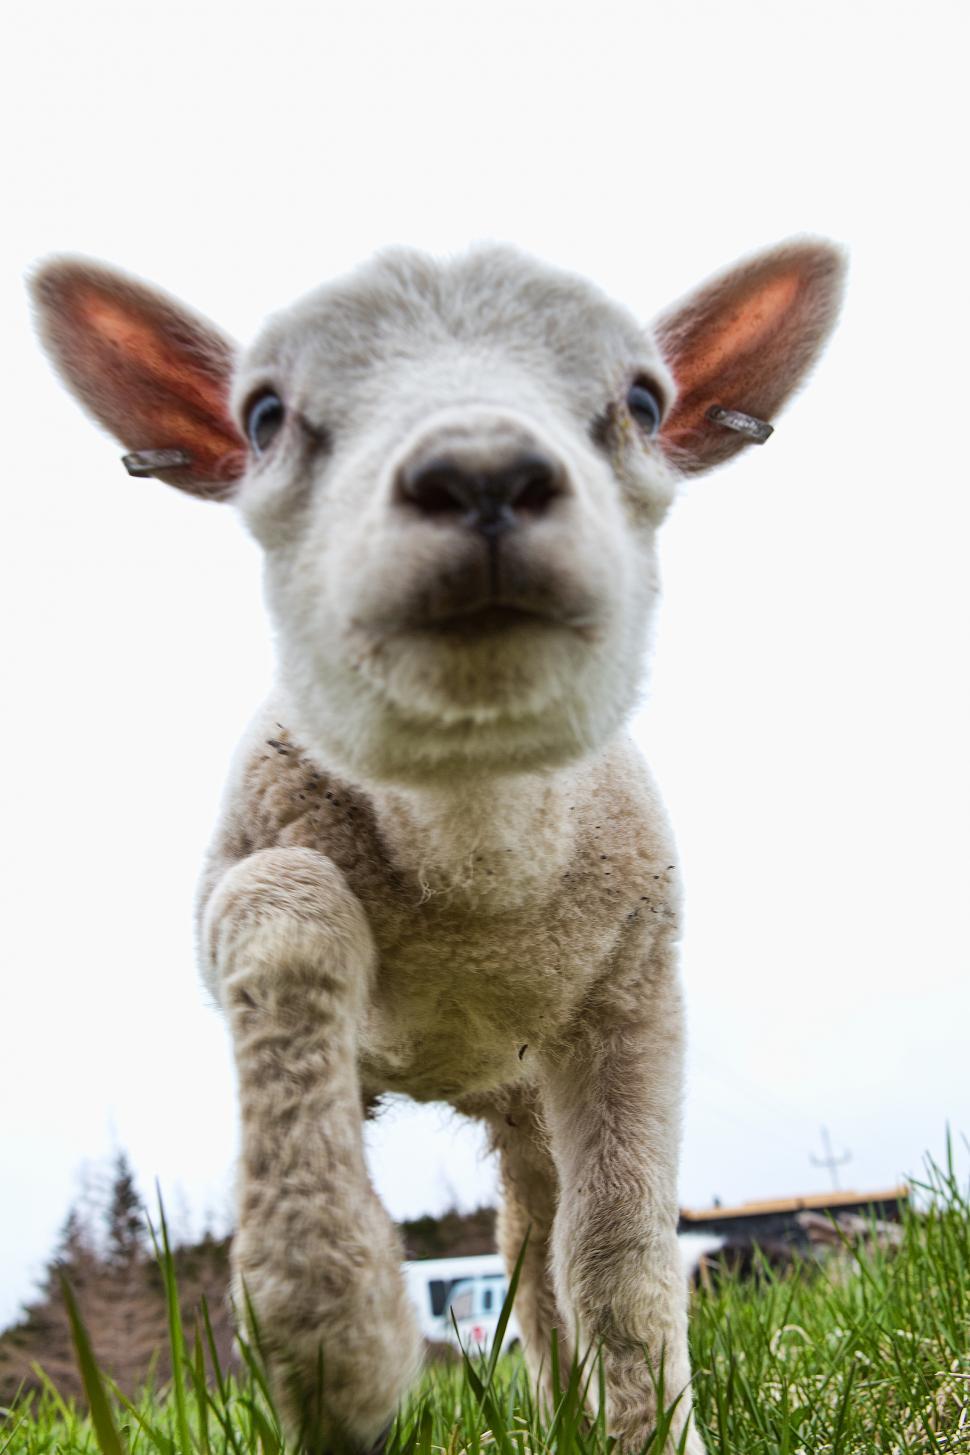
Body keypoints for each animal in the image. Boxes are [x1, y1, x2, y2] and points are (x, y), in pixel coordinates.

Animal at [30, 237, 844, 1454]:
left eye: (644, 402)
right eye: (263, 415)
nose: (481, 475)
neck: (477, 867)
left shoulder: (635, 999)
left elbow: (619, 1259)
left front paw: (653, 1429)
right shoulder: (245, 893)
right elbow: (284, 912)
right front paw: (334, 1337)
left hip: (532, 1090)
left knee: (535, 1250)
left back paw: (569, 1407)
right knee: (521, 1253)